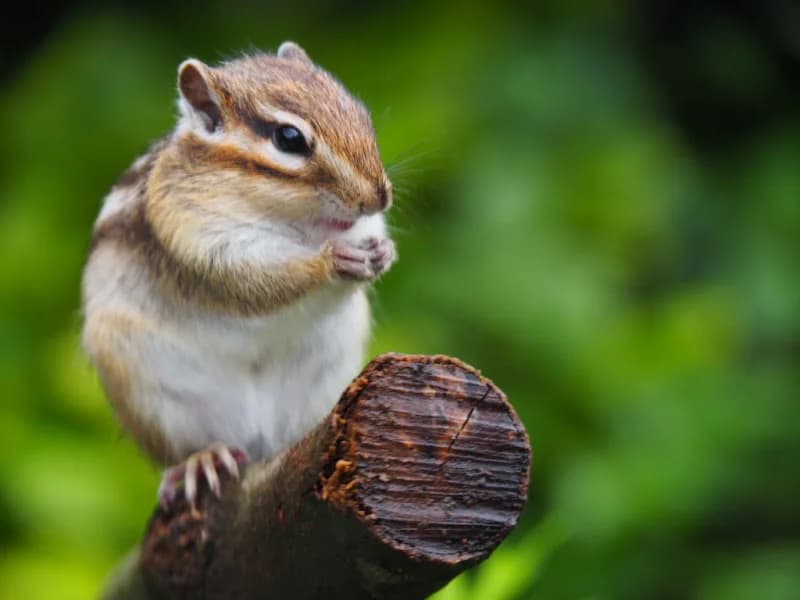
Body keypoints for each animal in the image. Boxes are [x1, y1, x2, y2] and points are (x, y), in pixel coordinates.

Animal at [81, 41, 396, 509]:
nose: (379, 197)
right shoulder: (197, 238)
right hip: (147, 389)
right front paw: (331, 260)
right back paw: (203, 460)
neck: (295, 222)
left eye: (360, 111)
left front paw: (383, 252)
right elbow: (250, 280)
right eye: (289, 138)